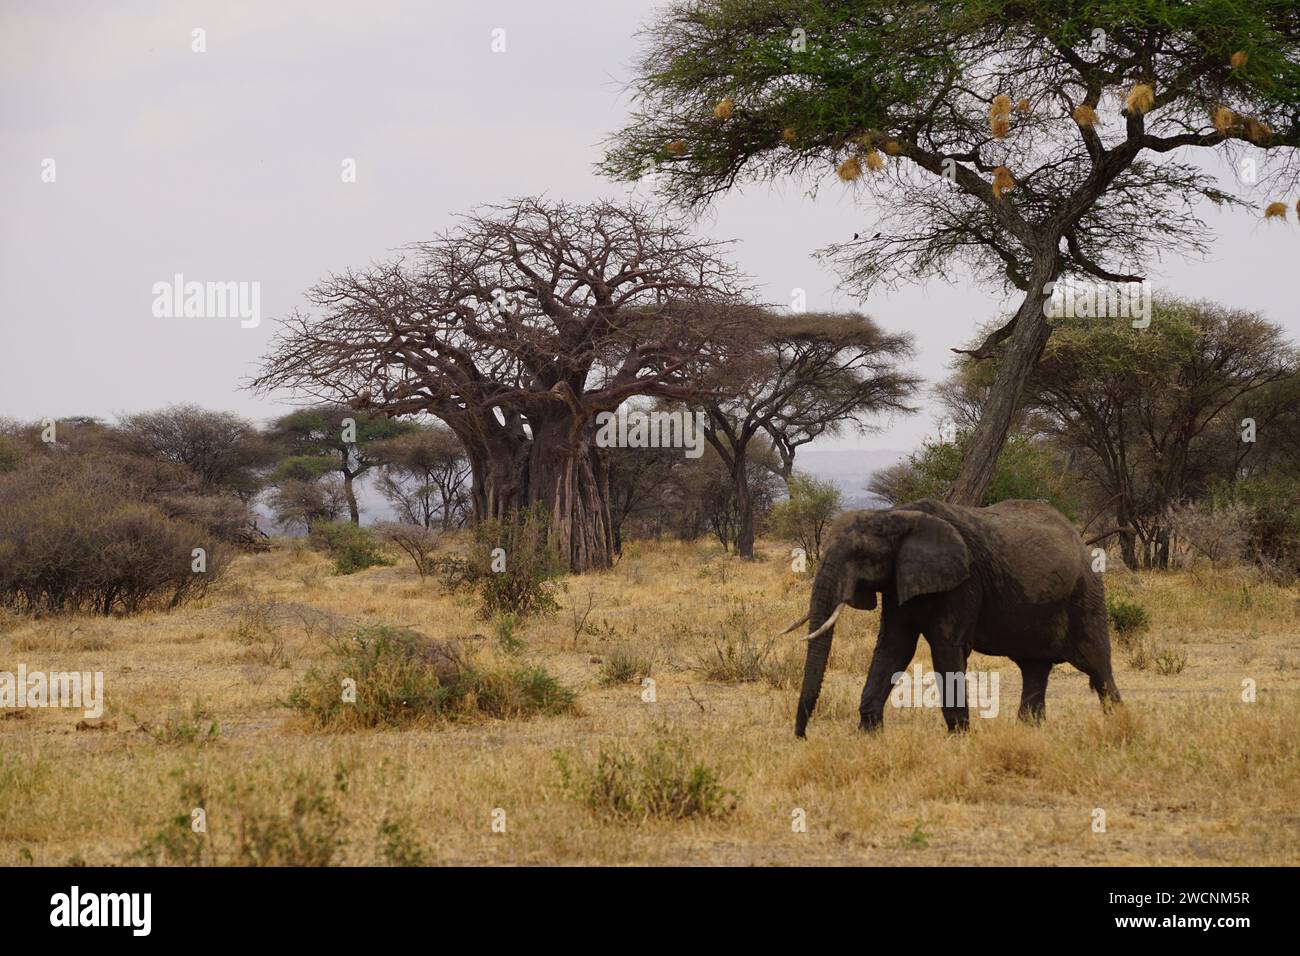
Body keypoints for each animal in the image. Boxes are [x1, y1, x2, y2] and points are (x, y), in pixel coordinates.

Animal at [782, 498, 1121, 738]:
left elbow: (947, 645)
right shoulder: (899, 579)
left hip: (1085, 595)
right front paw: (868, 734)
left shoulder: (965, 580)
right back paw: (1030, 730)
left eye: (860, 555)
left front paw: (959, 737)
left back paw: (1120, 723)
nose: (802, 736)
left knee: (1097, 665)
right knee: (1034, 668)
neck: (895, 515)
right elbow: (893, 646)